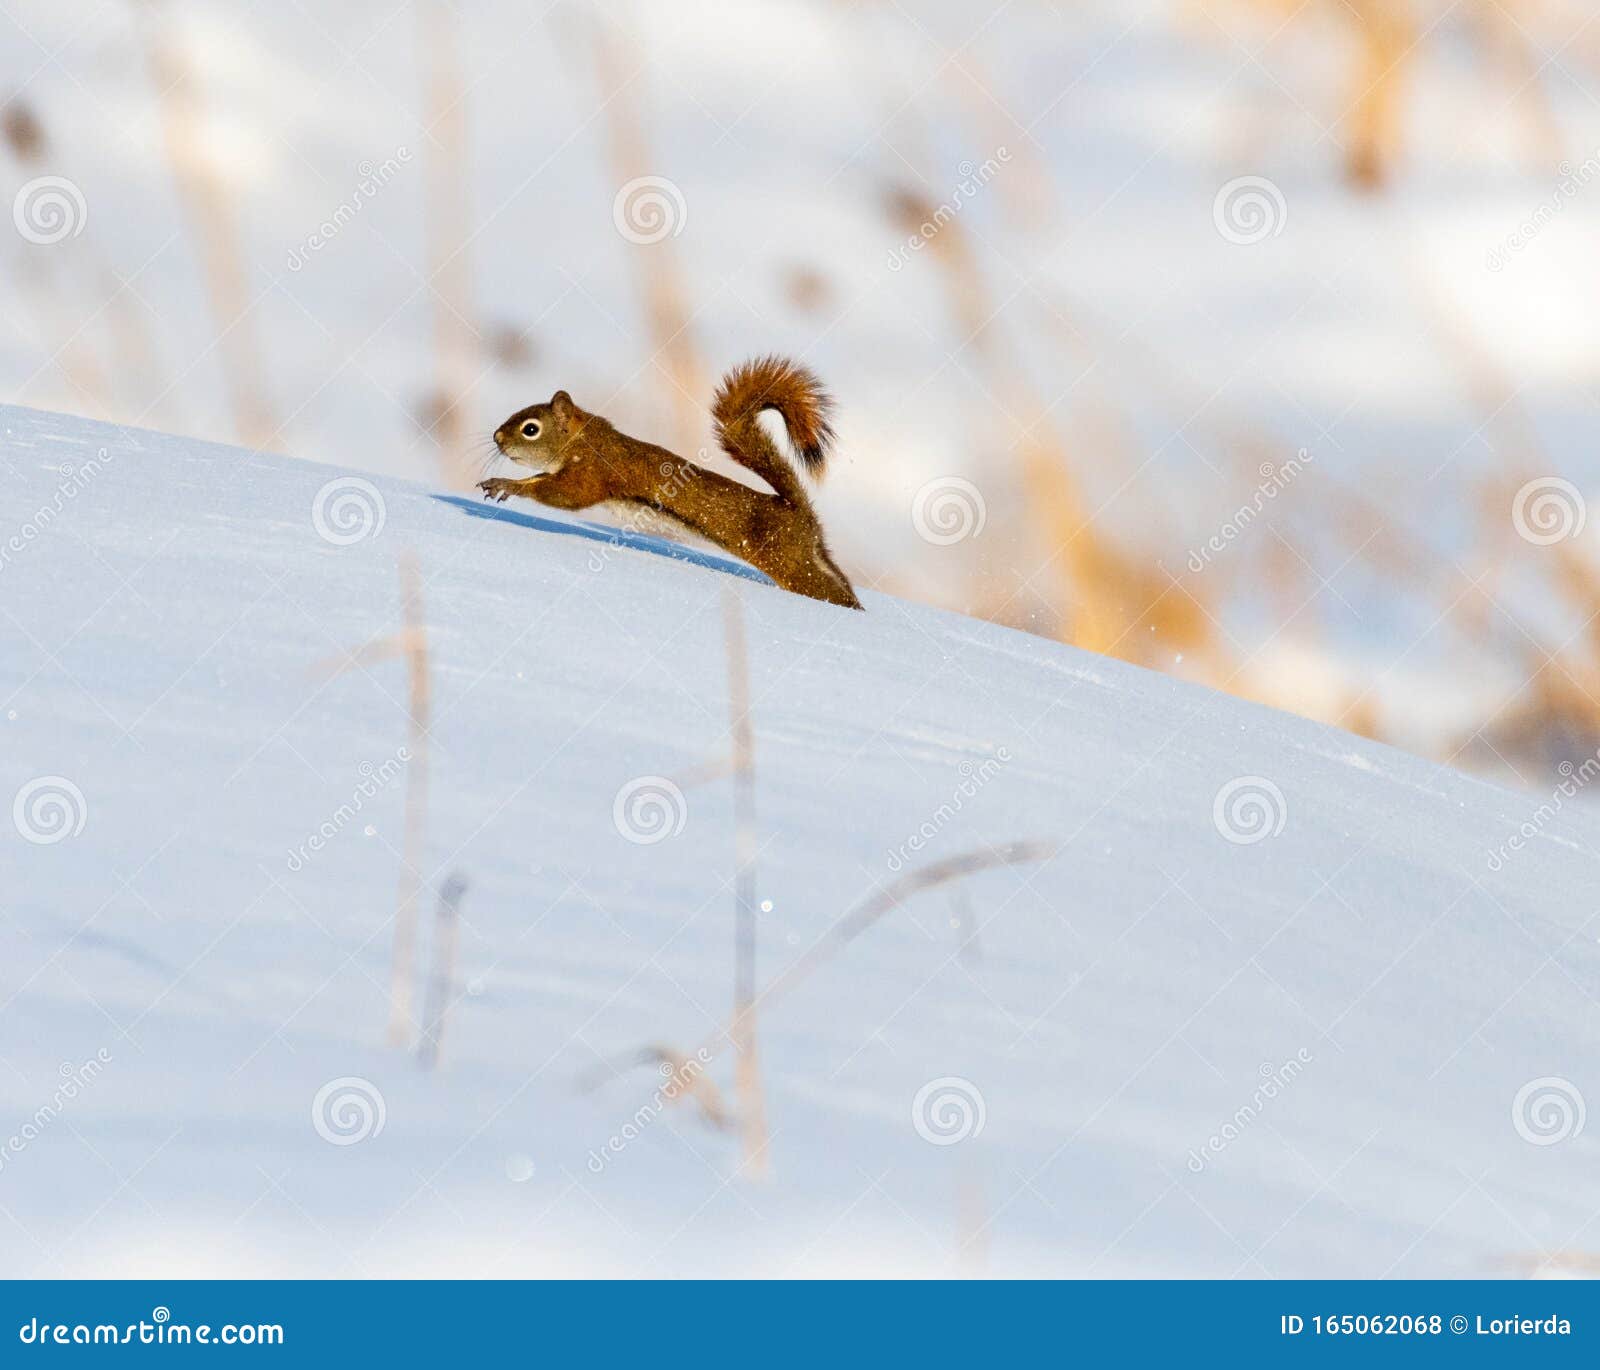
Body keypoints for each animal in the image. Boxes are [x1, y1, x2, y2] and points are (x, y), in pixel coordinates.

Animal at [479, 356, 861, 610]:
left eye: (530, 428)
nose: (497, 437)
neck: (584, 439)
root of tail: (796, 509)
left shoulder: (592, 472)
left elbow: (562, 494)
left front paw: (506, 484)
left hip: (788, 562)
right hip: (811, 556)